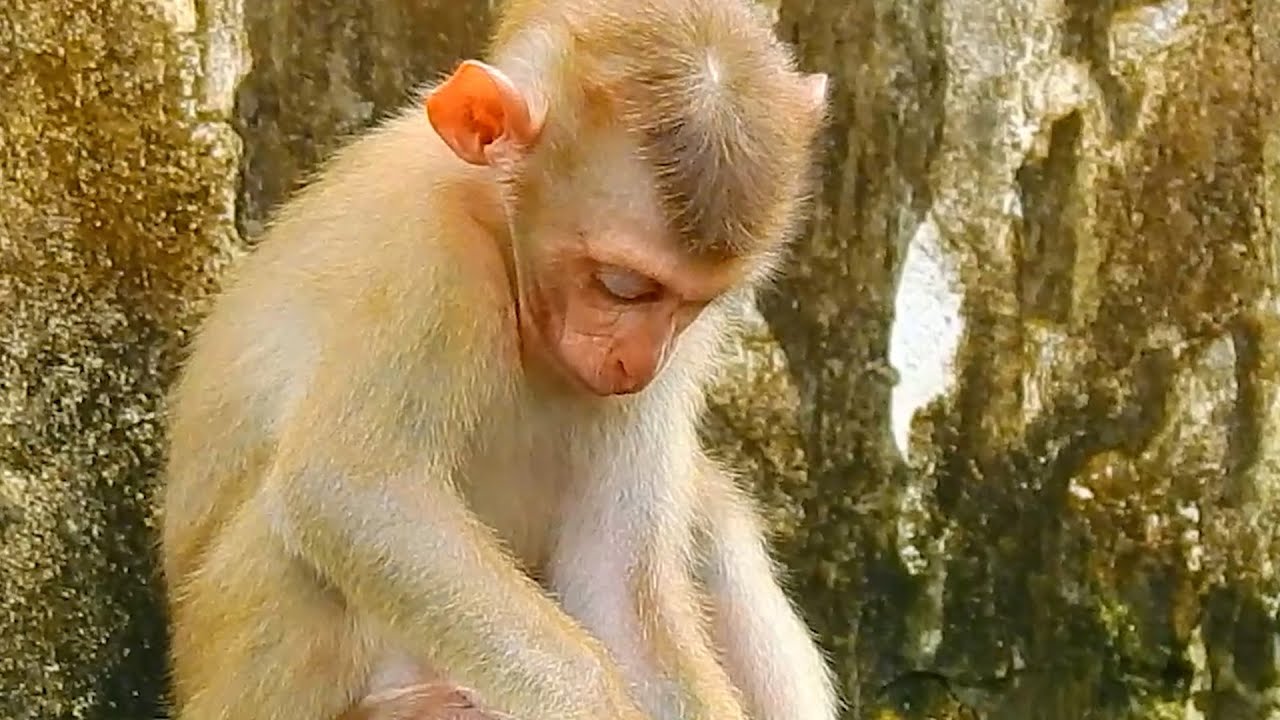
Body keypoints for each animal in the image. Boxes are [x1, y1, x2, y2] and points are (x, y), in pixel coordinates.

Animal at [160, 0, 836, 719]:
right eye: (622, 285)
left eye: (696, 304)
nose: (638, 361)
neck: (496, 224)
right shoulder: (432, 249)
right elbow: (351, 490)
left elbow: (617, 589)